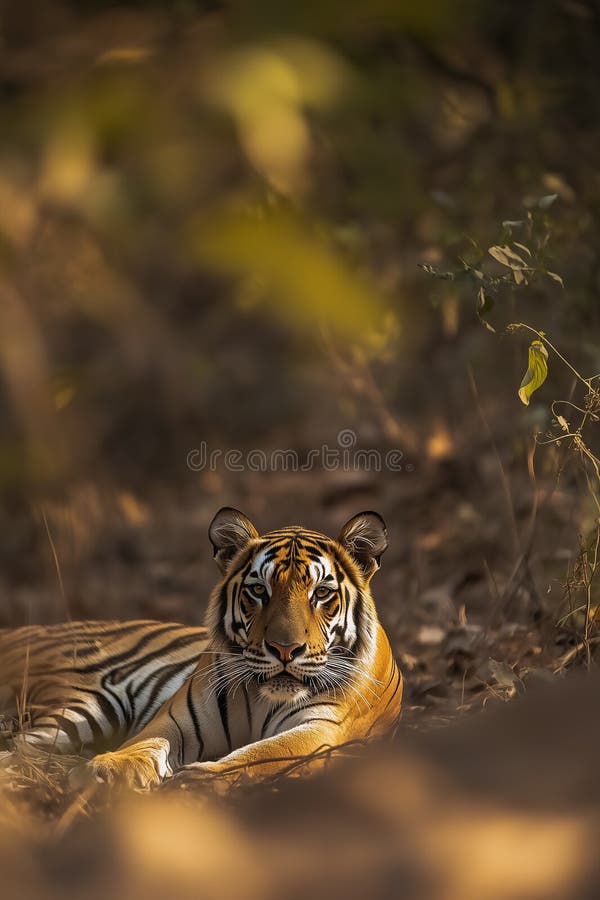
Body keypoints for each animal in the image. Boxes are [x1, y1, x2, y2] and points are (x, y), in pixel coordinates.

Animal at [0, 507, 402, 788]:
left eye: (321, 593)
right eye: (259, 590)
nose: (284, 649)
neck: (263, 699)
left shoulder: (322, 730)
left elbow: (264, 754)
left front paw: (200, 781)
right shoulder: (176, 720)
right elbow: (144, 744)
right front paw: (112, 769)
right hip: (84, 707)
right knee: (17, 749)